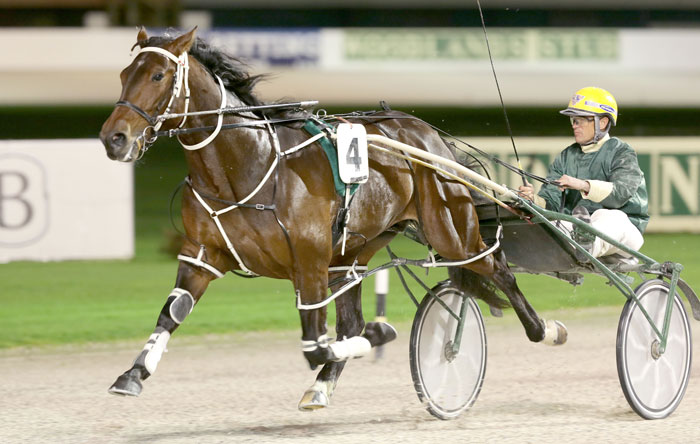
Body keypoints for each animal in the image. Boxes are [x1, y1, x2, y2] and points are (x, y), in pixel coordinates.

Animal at [99, 27, 568, 411]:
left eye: (158, 76)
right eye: (124, 74)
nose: (113, 138)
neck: (248, 164)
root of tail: (427, 133)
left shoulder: (308, 259)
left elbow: (315, 343)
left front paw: (381, 334)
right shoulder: (203, 255)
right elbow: (172, 312)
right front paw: (133, 374)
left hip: (451, 232)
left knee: (498, 268)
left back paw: (546, 329)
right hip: (352, 250)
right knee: (353, 318)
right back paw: (323, 386)